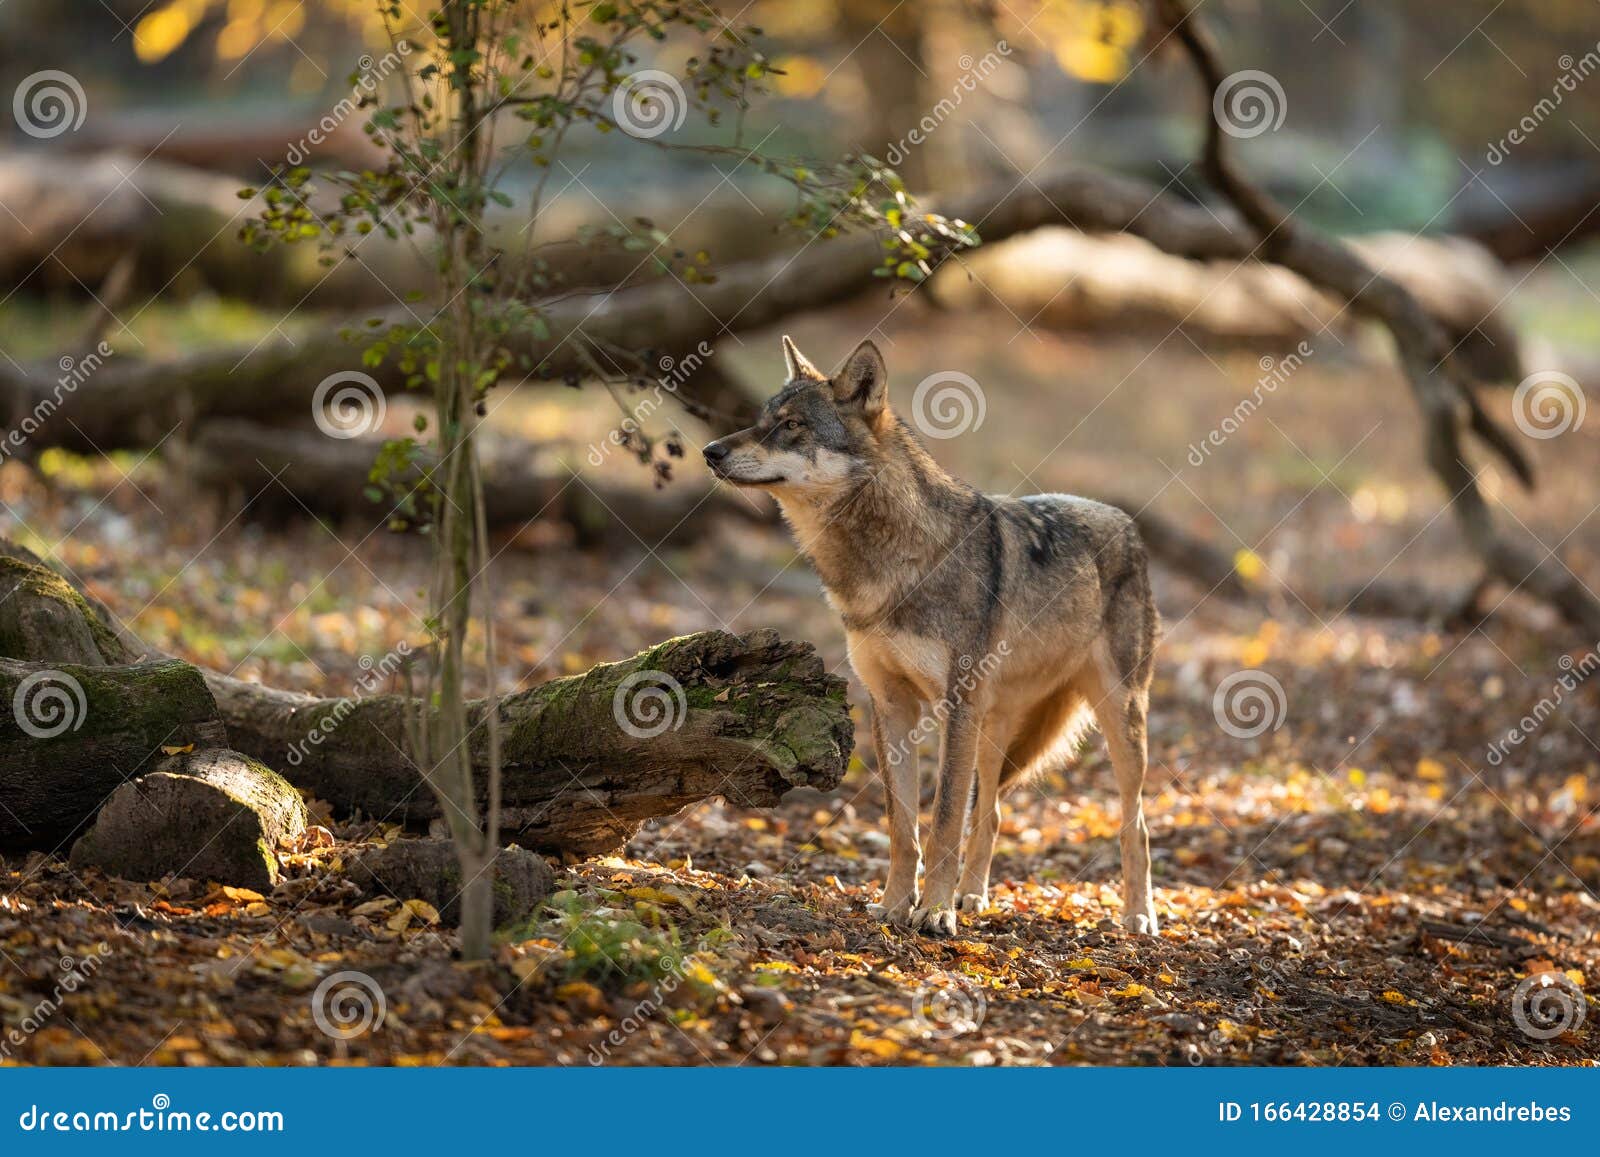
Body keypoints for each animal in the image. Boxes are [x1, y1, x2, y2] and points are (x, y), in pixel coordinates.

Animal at [703, 337, 1160, 936]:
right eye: (761, 420)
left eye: (792, 425)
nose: (709, 451)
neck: (886, 565)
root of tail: (1127, 523)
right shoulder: (890, 706)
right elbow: (904, 826)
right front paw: (897, 904)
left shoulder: (955, 706)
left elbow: (941, 820)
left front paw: (935, 912)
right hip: (994, 730)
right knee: (991, 812)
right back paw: (974, 897)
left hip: (1117, 722)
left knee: (1136, 823)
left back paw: (1137, 915)